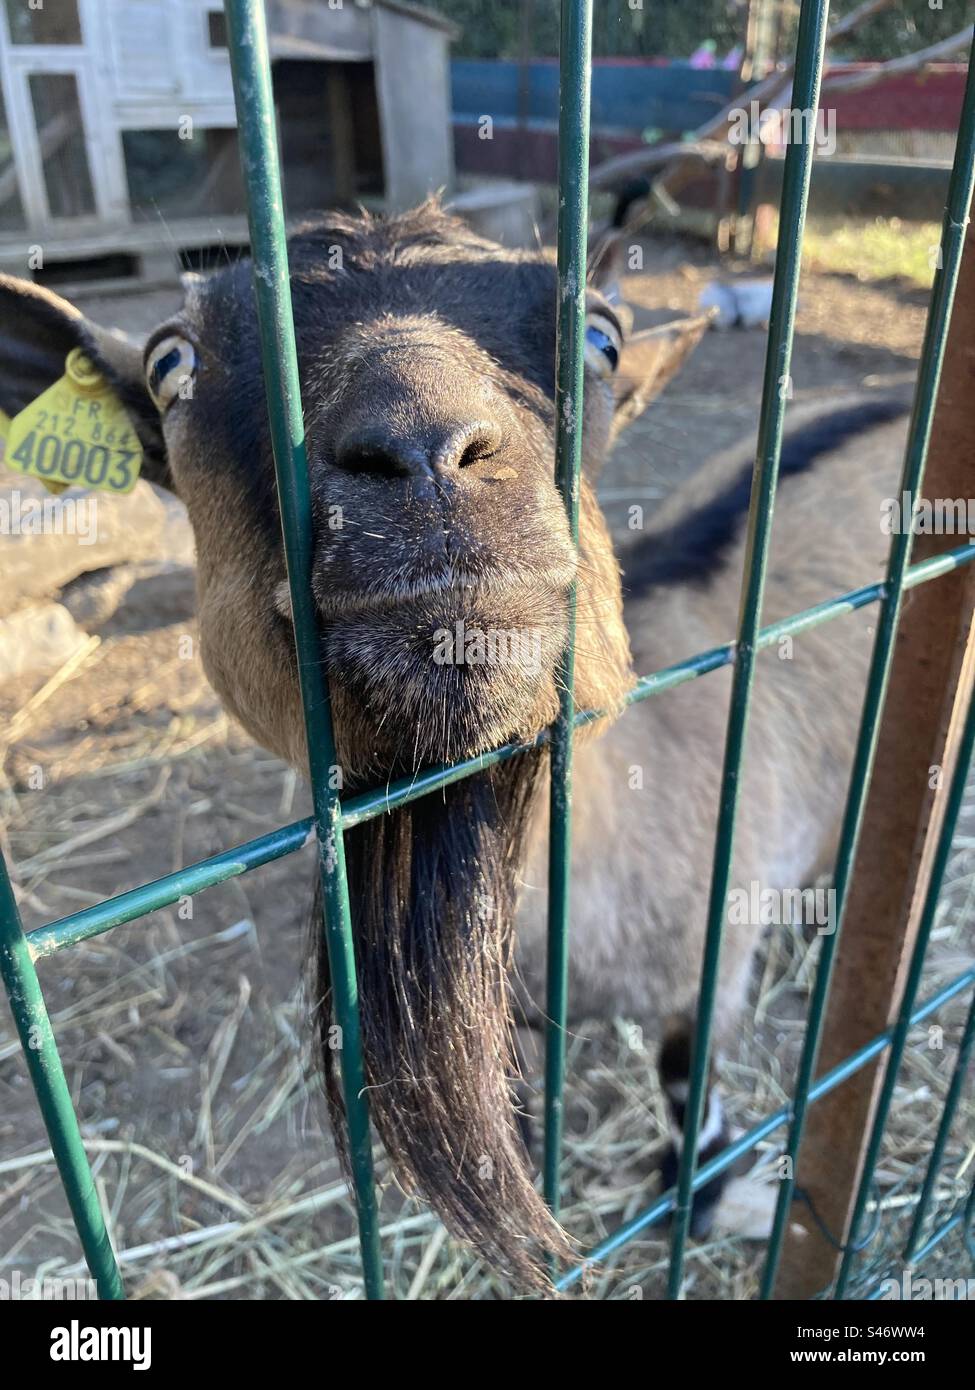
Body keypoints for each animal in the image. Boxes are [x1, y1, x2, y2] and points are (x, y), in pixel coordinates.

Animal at [0, 203, 907, 1295]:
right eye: (173, 363)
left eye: (601, 336)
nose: (426, 447)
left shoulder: (709, 965)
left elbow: (692, 1092)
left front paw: (719, 1188)